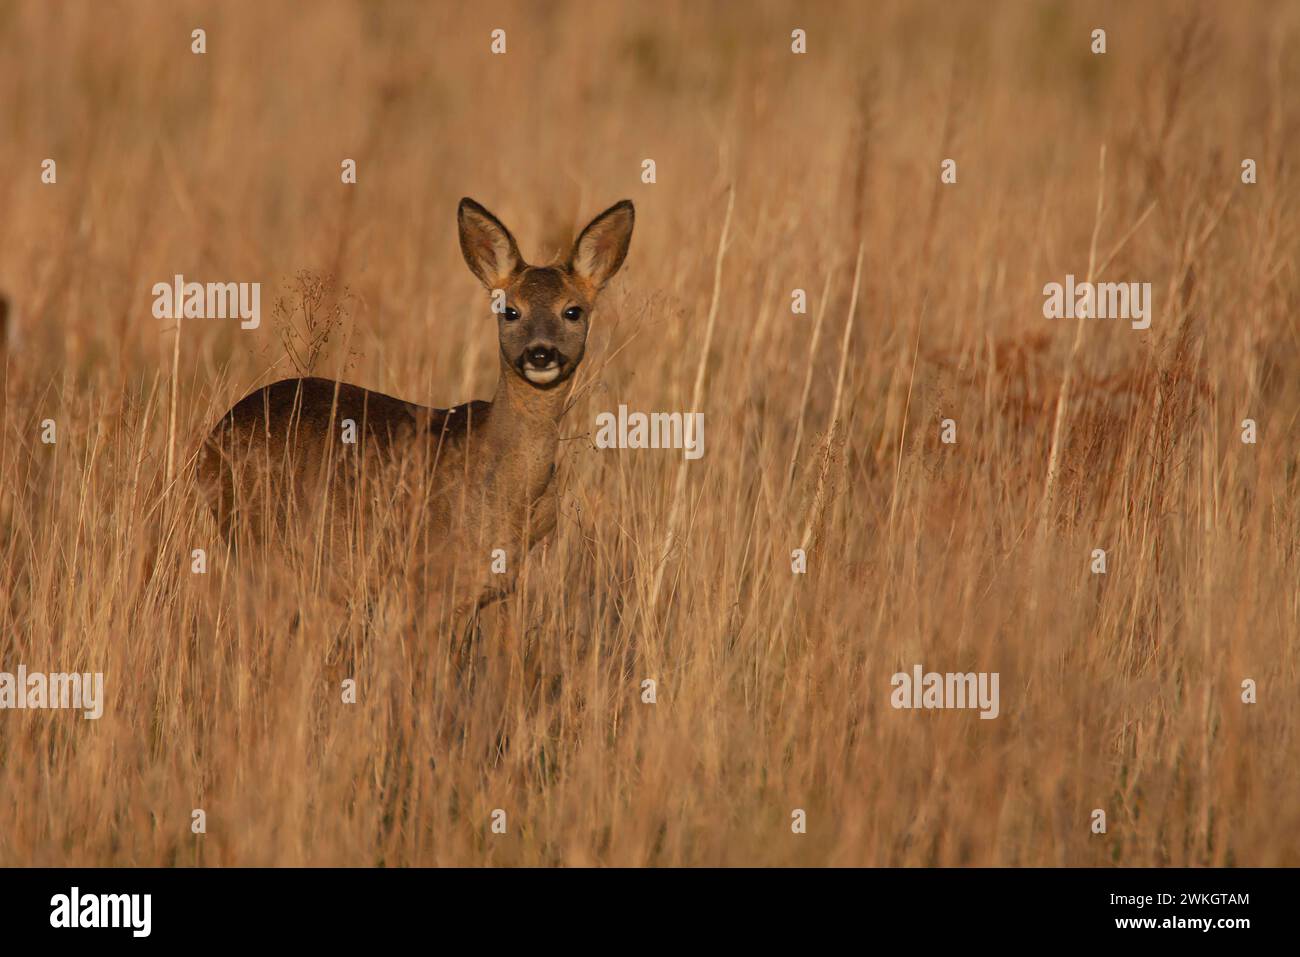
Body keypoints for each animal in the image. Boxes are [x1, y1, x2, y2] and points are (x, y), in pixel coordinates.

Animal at [195, 198, 635, 622]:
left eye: (573, 311)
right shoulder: (427, 581)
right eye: (510, 310)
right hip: (255, 540)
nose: (540, 353)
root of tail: (211, 441)